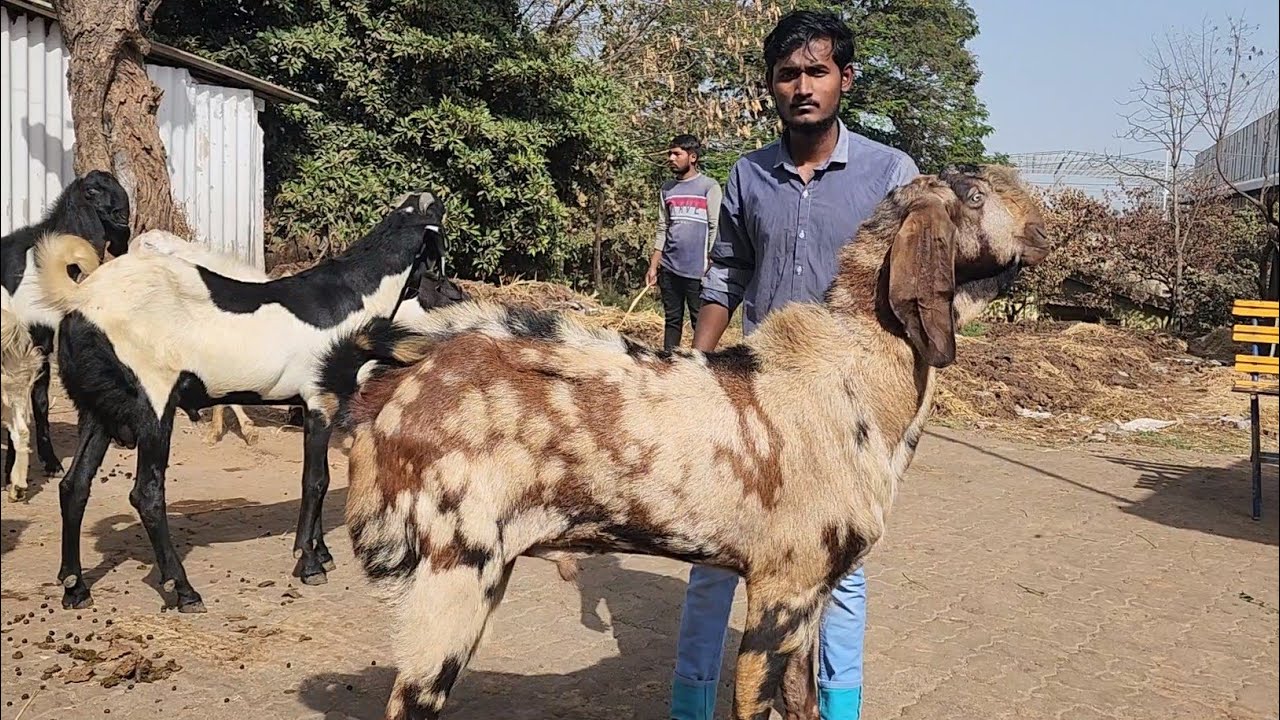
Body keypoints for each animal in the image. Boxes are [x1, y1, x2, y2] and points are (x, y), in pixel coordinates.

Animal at [1, 170, 131, 477]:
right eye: (92, 191)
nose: (122, 215)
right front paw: (13, 465)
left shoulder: (42, 341)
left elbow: (40, 400)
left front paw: (49, 461)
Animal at [37, 192, 465, 614]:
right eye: (436, 277)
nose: (460, 295)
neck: (350, 298)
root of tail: (80, 302)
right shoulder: (319, 398)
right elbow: (316, 480)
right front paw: (309, 563)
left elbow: (319, 478)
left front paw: (321, 553)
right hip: (151, 402)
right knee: (146, 493)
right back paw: (183, 590)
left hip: (98, 407)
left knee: (74, 485)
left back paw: (75, 587)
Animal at [314, 165, 1052, 720]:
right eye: (975, 194)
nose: (1047, 226)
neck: (853, 375)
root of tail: (394, 379)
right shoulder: (779, 591)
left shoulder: (812, 595)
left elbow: (804, 703)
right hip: (456, 578)